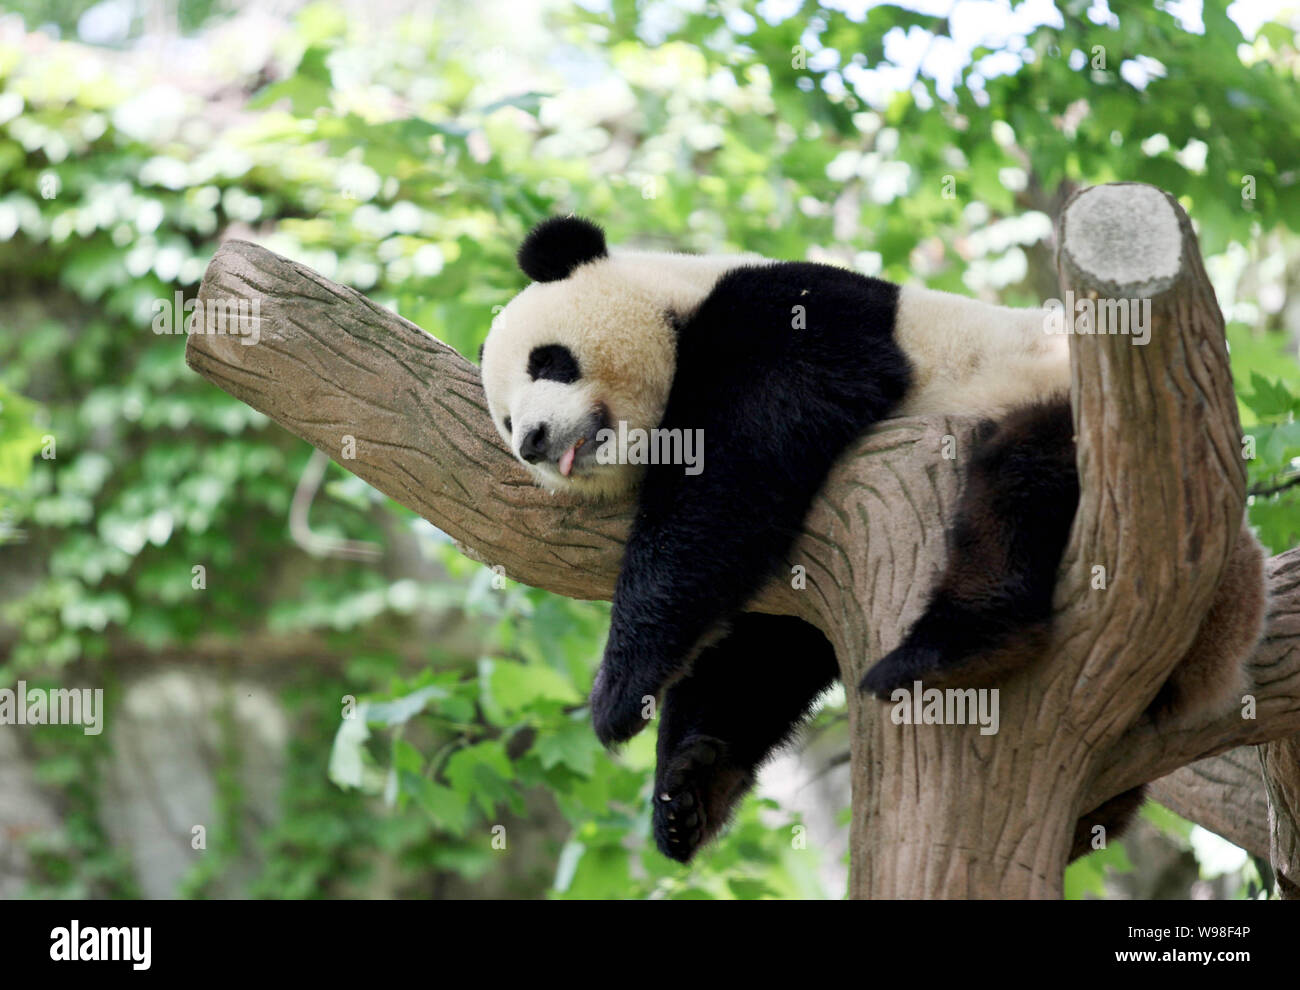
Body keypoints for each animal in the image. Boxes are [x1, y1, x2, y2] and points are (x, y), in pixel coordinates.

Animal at [478, 215, 1267, 864]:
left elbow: (736, 464)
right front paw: (686, 789)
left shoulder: (795, 314)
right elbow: (763, 653)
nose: (535, 442)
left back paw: (953, 650)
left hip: (1089, 428)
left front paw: (618, 691)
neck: (682, 300)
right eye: (507, 425)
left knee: (1017, 481)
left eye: (549, 361)